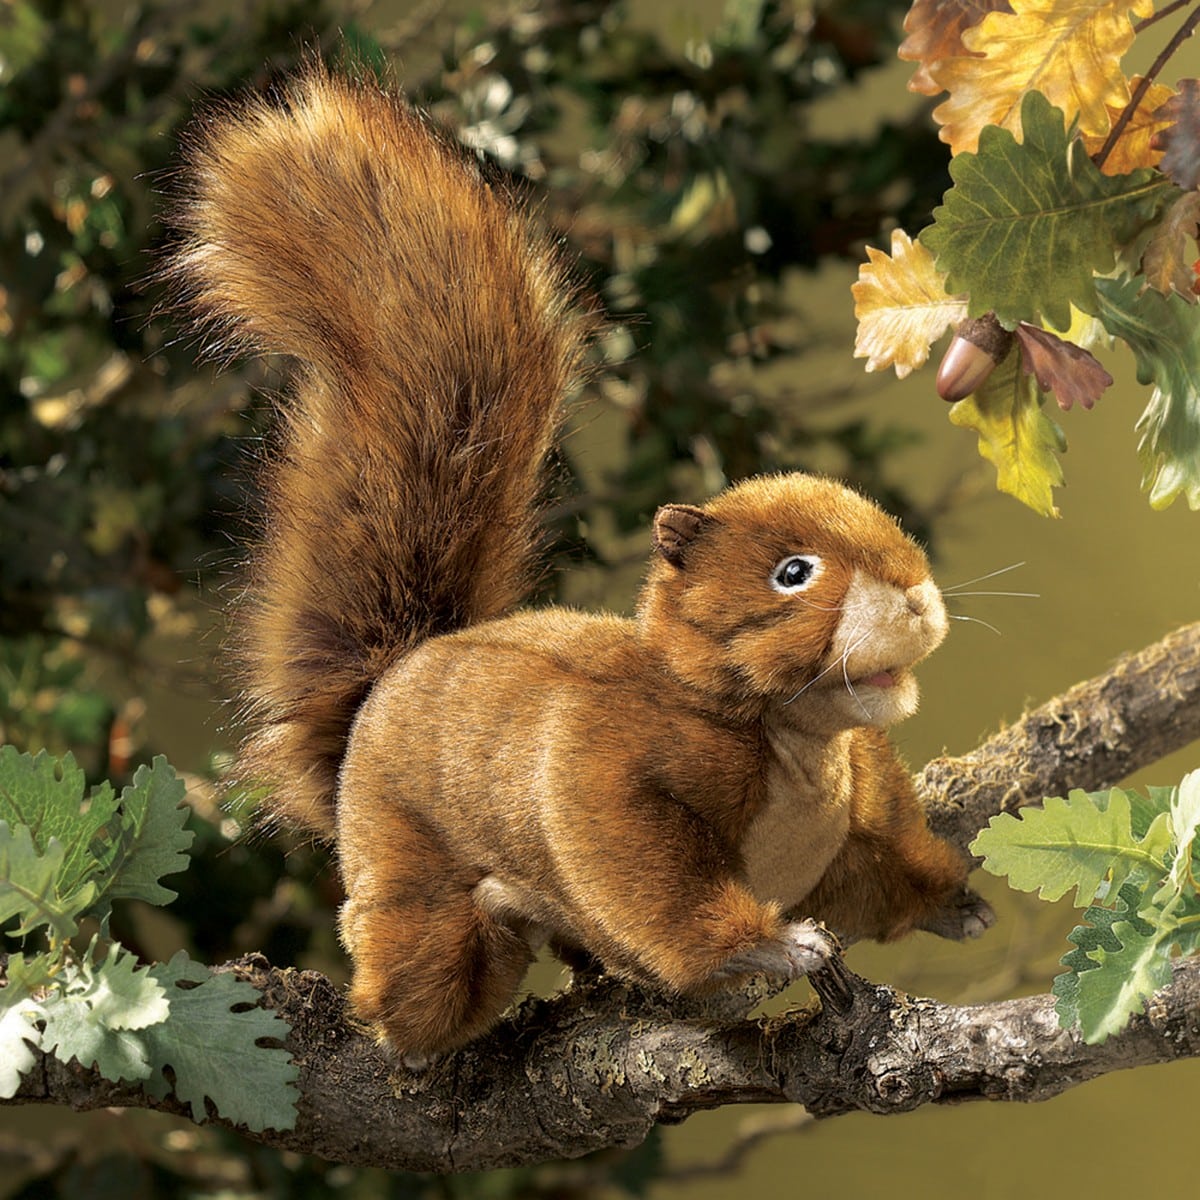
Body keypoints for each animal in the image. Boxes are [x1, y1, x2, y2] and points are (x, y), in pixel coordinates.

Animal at [167, 68, 994, 1060]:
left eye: (886, 518)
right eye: (792, 572)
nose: (915, 598)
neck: (796, 745)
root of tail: (384, 683)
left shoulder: (861, 810)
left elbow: (884, 872)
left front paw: (956, 902)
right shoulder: (614, 766)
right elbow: (645, 877)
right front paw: (767, 949)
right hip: (403, 867)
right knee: (415, 986)